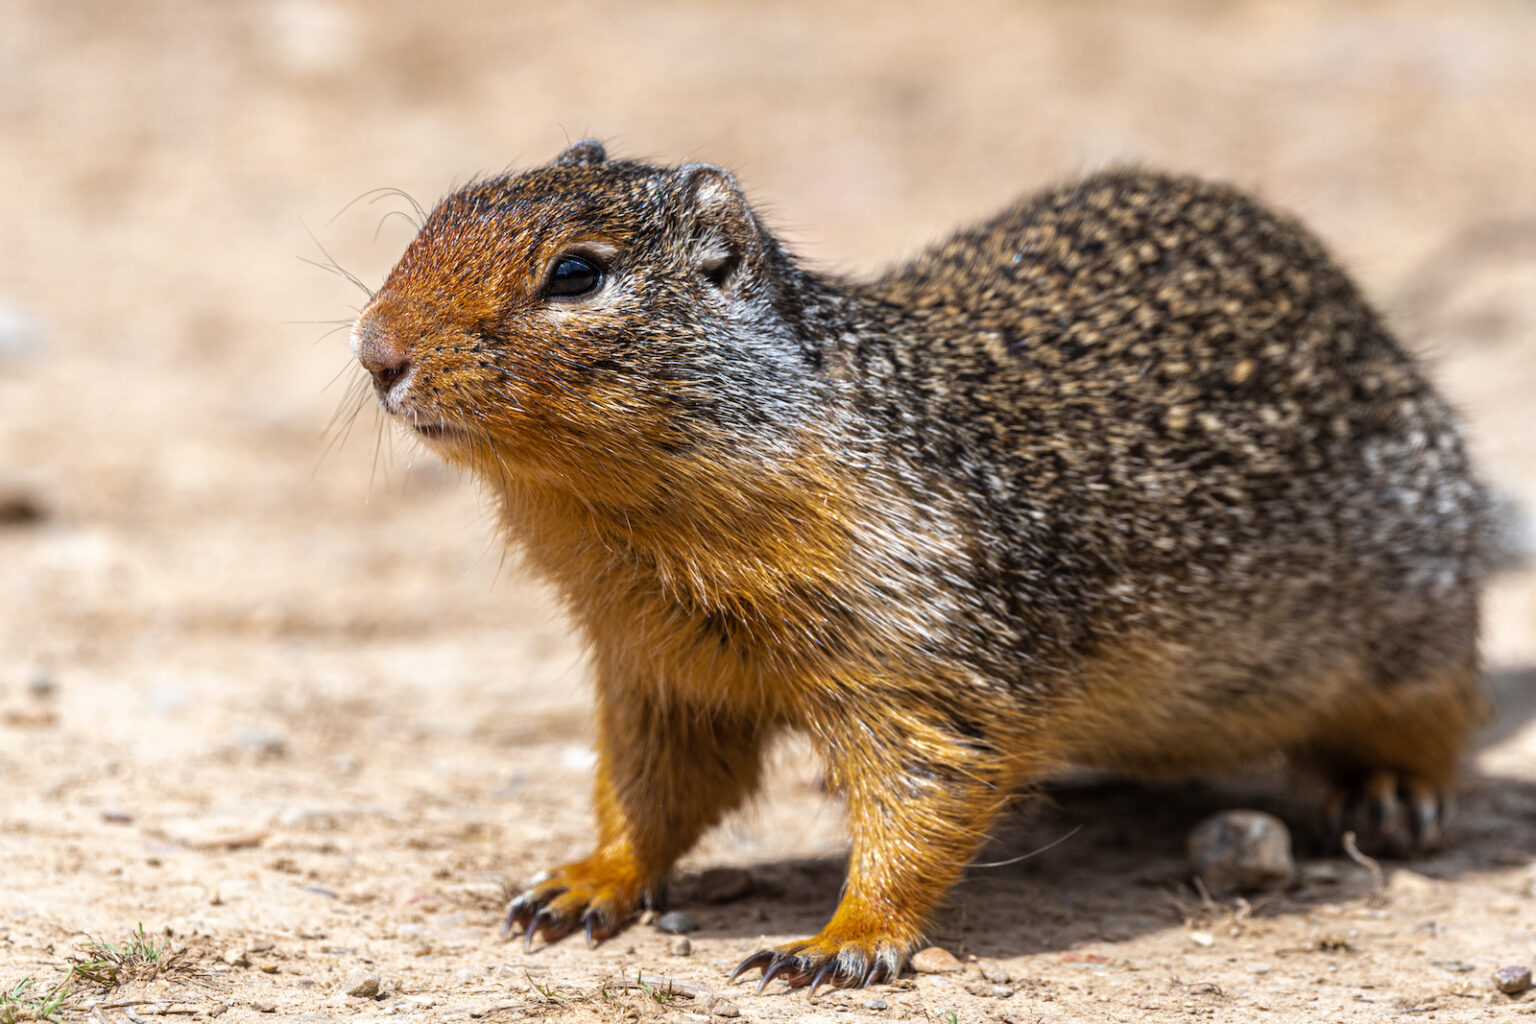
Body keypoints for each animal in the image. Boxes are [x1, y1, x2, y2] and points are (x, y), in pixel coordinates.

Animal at [350, 140, 1492, 994]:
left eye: (576, 273)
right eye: (441, 212)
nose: (374, 351)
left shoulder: (927, 646)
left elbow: (921, 797)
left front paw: (840, 942)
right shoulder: (655, 673)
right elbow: (646, 791)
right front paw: (585, 882)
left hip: (1413, 615)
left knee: (1441, 707)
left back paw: (1393, 796)